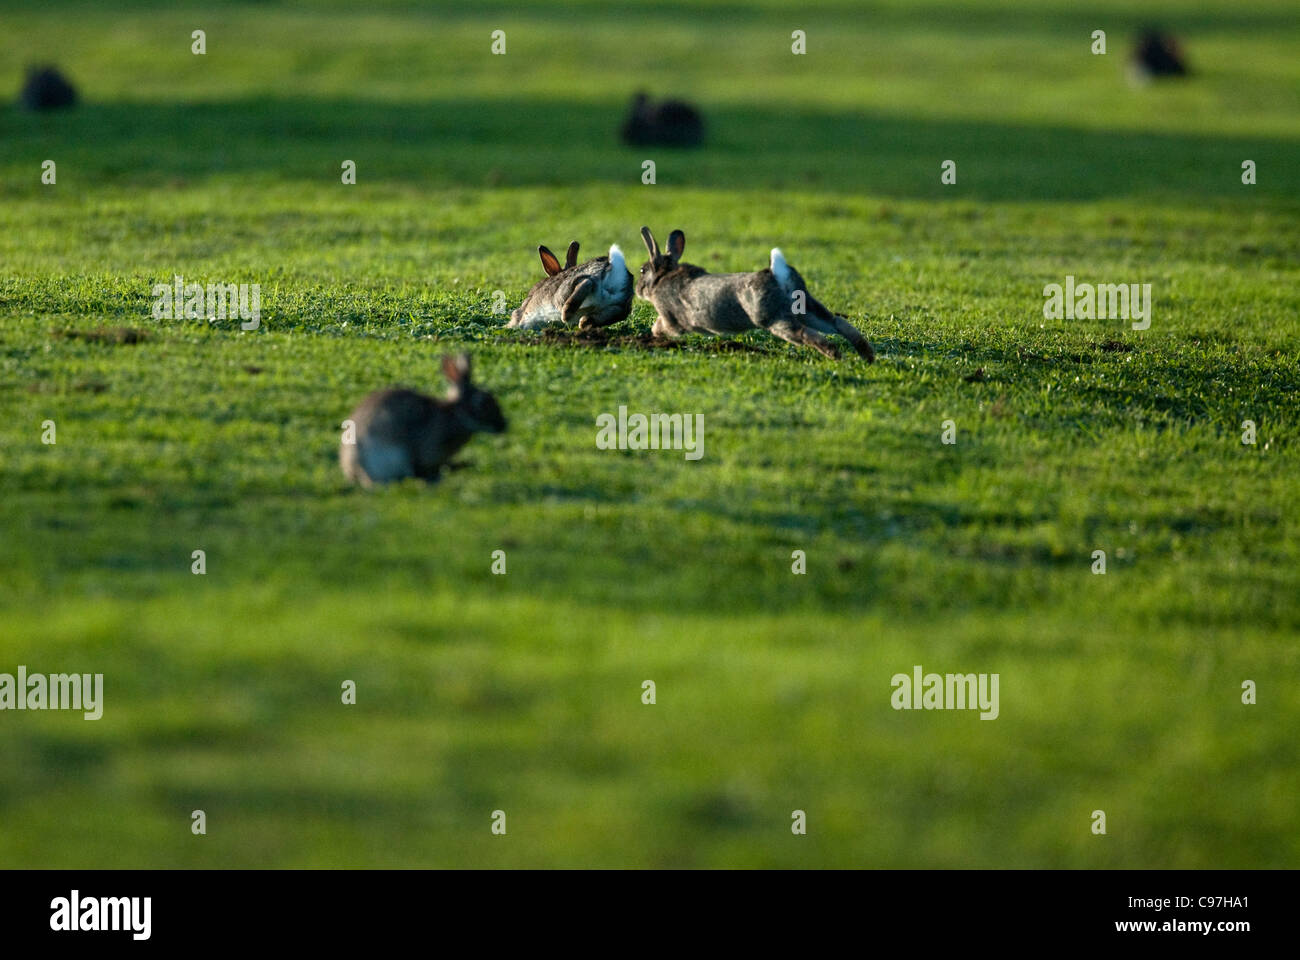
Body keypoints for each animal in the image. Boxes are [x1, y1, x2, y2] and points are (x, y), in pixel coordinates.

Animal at [635, 227, 874, 361]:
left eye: (642, 270)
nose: (637, 289)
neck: (663, 276)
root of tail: (777, 274)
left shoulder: (670, 317)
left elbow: (662, 325)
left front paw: (654, 334)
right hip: (809, 309)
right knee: (837, 323)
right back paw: (867, 356)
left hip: (773, 319)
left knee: (807, 334)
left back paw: (836, 356)